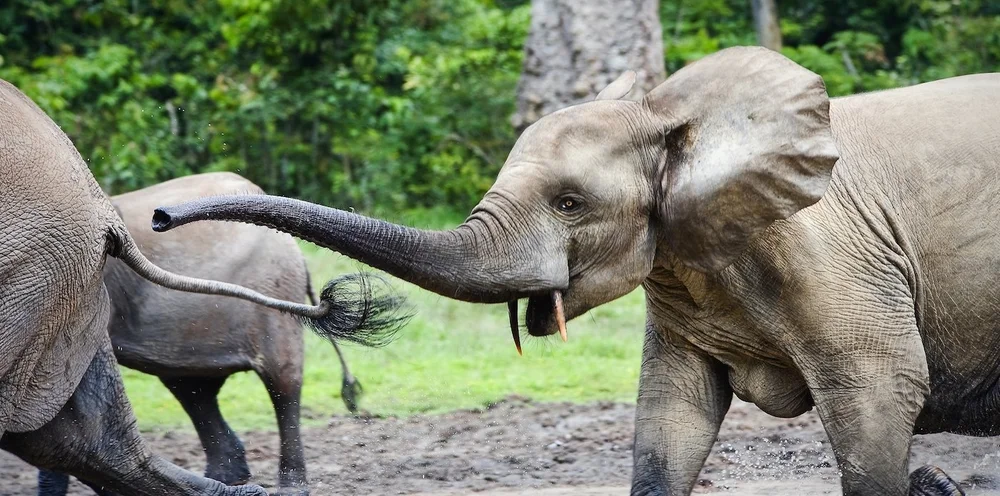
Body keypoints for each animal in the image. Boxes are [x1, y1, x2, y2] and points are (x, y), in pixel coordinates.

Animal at [149, 47, 996, 495]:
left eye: (568, 202)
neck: (673, 117)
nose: (157, 218)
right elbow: (674, 411)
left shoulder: (835, 263)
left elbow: (879, 392)